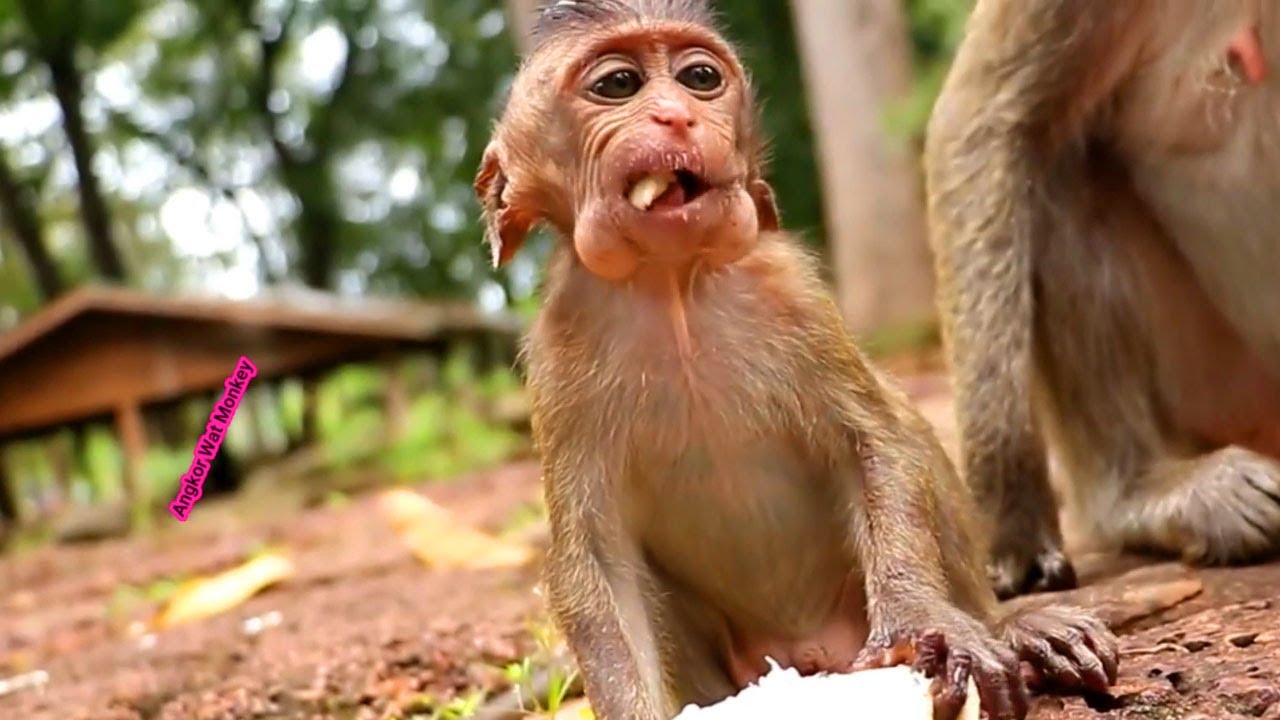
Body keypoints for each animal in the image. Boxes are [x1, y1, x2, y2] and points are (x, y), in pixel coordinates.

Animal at [474, 2, 1119, 718]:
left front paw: (926, 621)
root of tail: (811, 652)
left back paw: (1012, 628)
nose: (678, 116)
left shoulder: (796, 298)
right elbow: (596, 562)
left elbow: (878, 444)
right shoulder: (557, 363)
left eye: (699, 78)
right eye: (618, 84)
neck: (670, 286)